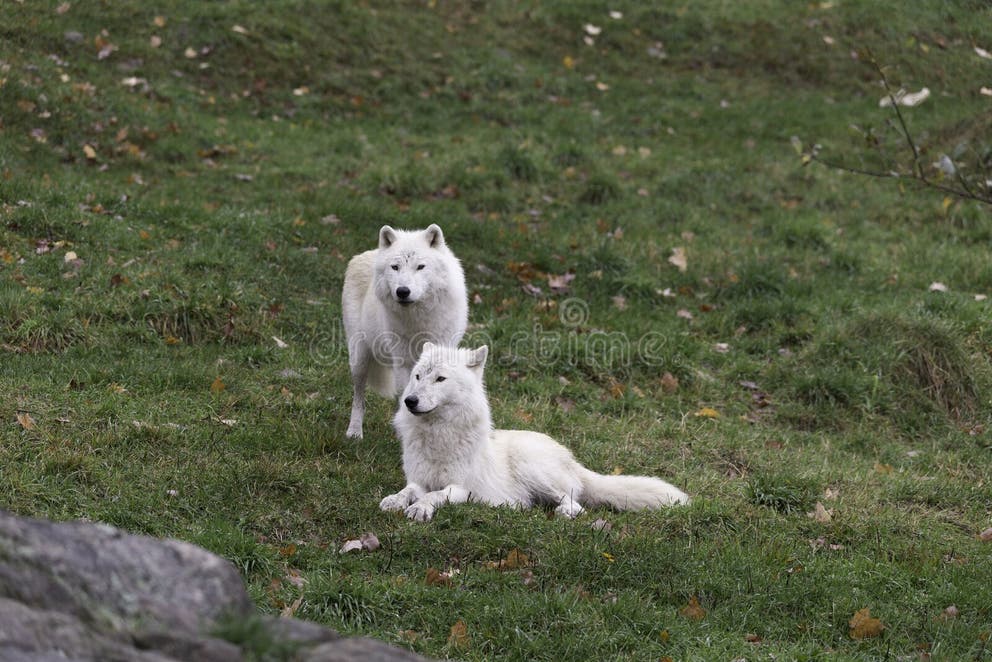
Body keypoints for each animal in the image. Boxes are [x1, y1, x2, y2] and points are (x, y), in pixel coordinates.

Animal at [341, 225, 467, 439]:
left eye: (420, 267)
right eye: (395, 267)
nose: (402, 291)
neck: (419, 320)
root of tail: (365, 253)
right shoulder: (403, 361)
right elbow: (405, 394)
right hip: (359, 359)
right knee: (359, 396)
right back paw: (354, 432)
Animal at [379, 343, 690, 521]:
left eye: (440, 379)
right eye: (418, 376)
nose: (410, 401)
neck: (439, 435)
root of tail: (573, 460)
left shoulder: (461, 488)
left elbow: (434, 496)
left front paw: (420, 509)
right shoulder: (419, 479)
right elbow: (409, 490)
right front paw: (394, 500)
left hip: (530, 466)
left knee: (575, 503)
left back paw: (565, 512)